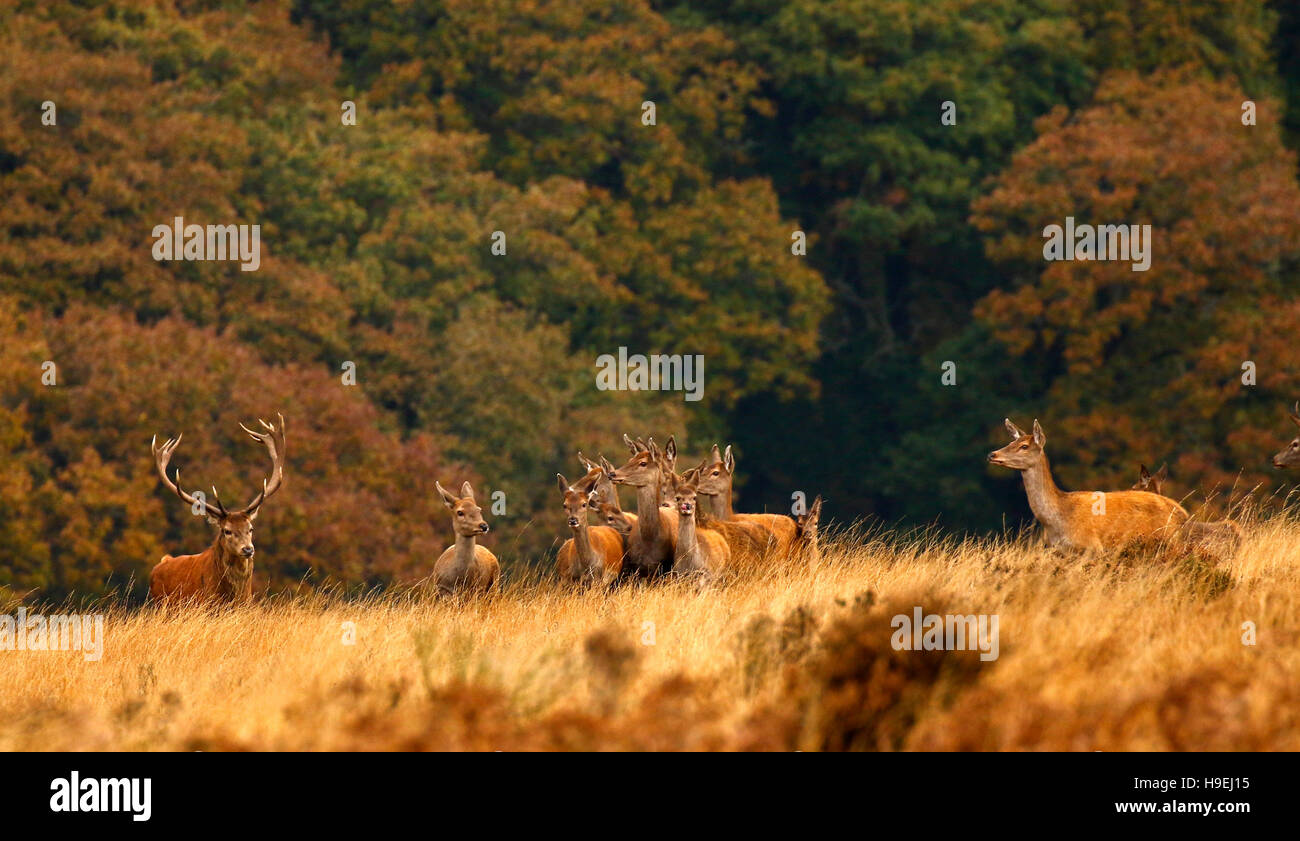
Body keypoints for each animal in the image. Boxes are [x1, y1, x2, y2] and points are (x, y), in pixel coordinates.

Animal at [982, 418, 1190, 553]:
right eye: (1011, 441)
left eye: (1024, 446)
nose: (992, 454)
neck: (1058, 519)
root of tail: (1184, 513)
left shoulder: (1092, 547)